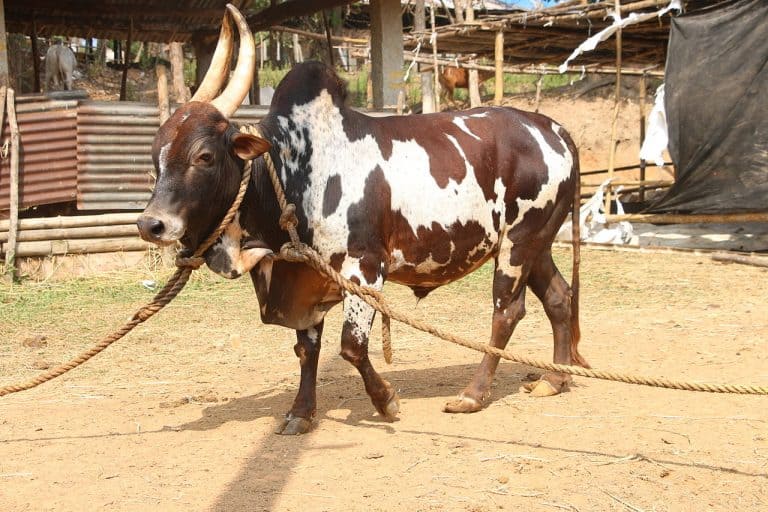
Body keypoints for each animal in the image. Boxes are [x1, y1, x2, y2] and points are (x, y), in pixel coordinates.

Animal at [137, 5, 588, 435]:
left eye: (204, 156)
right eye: (156, 155)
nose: (150, 225)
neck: (293, 169)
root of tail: (553, 127)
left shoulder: (364, 269)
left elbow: (350, 346)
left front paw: (386, 401)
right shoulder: (306, 274)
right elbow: (307, 349)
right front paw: (300, 413)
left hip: (519, 242)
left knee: (506, 312)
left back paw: (474, 394)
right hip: (535, 243)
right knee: (559, 297)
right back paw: (554, 379)